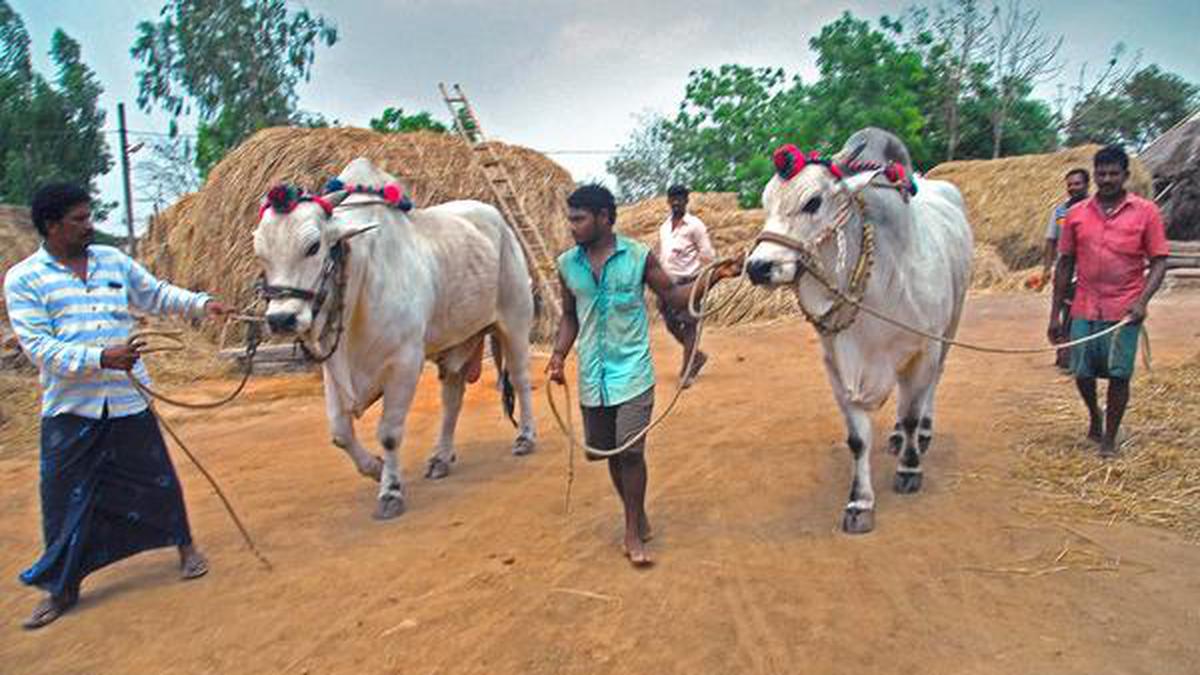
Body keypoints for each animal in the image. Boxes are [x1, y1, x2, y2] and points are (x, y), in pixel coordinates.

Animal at [252, 158, 537, 519]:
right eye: (260, 253)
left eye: (313, 247)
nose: (281, 319)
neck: (358, 278)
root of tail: (501, 223)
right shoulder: (333, 368)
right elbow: (340, 432)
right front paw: (374, 468)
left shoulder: (405, 362)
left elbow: (388, 433)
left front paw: (390, 491)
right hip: (456, 345)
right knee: (452, 399)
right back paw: (441, 457)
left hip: (515, 323)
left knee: (520, 379)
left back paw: (526, 437)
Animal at [745, 128, 973, 534]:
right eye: (766, 202)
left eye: (813, 202)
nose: (758, 266)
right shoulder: (837, 366)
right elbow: (858, 440)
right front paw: (860, 502)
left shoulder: (922, 349)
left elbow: (912, 412)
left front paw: (909, 468)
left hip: (949, 327)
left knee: (930, 388)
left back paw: (921, 434)